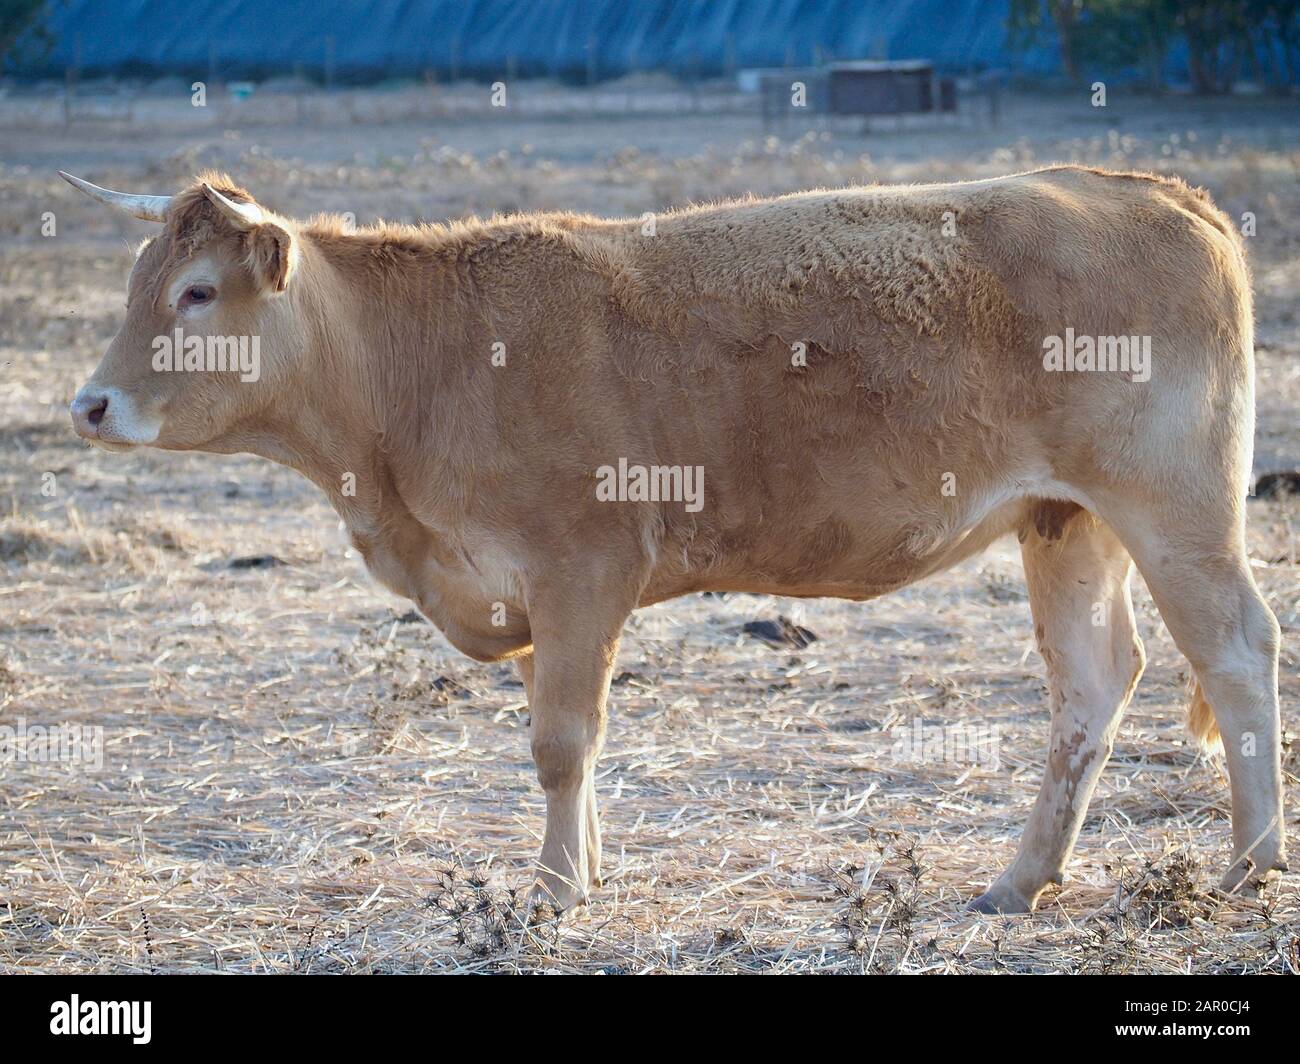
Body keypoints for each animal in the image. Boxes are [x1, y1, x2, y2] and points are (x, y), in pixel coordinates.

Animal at [61, 166, 1286, 914]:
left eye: (197, 292)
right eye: (134, 282)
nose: (89, 405)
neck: (429, 366)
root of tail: (1152, 191)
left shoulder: (581, 567)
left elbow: (562, 740)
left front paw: (557, 890)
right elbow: (571, 739)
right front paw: (587, 867)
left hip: (1175, 509)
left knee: (1236, 652)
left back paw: (1250, 863)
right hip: (1067, 520)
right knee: (1093, 682)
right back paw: (1019, 880)